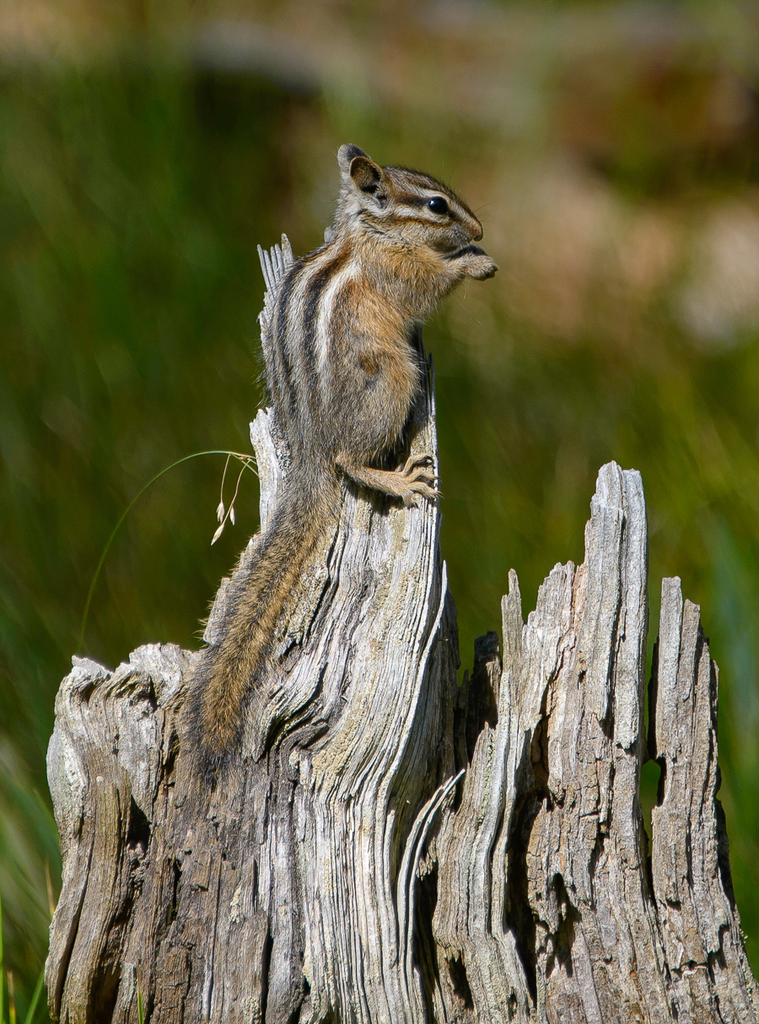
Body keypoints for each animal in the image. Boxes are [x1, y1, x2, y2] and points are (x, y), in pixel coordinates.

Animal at [190, 144, 497, 767]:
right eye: (437, 205)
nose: (478, 229)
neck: (372, 234)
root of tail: (307, 450)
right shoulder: (399, 274)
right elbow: (430, 285)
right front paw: (472, 265)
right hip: (394, 380)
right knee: (350, 463)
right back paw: (401, 481)